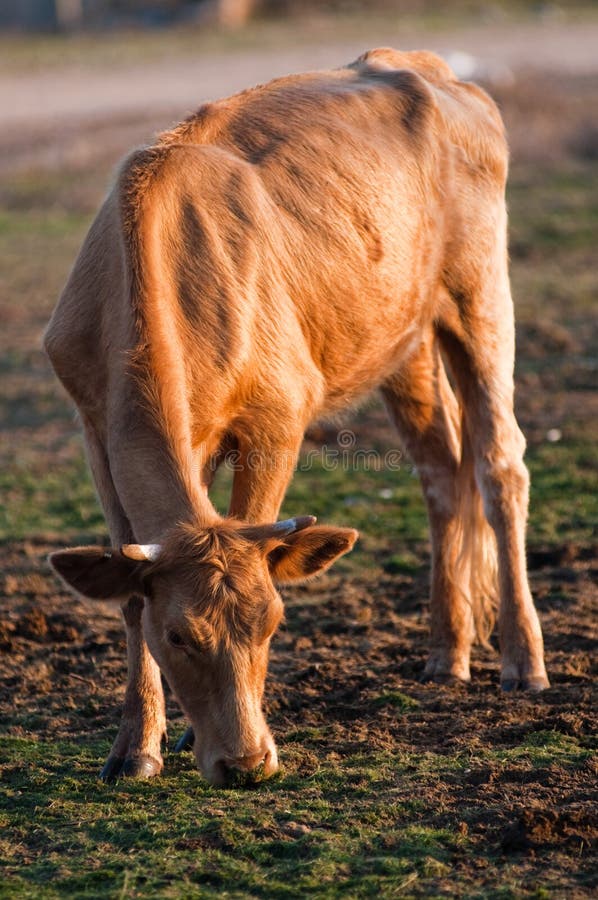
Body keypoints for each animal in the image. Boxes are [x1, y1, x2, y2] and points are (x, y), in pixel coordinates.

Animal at [44, 48, 549, 787]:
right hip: (402, 339)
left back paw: (523, 661)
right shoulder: (94, 427)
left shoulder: (277, 415)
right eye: (179, 635)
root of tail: (427, 66)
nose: (247, 764)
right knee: (440, 467)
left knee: (497, 463)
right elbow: (130, 594)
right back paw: (446, 653)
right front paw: (137, 747)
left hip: (479, 293)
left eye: (273, 623)